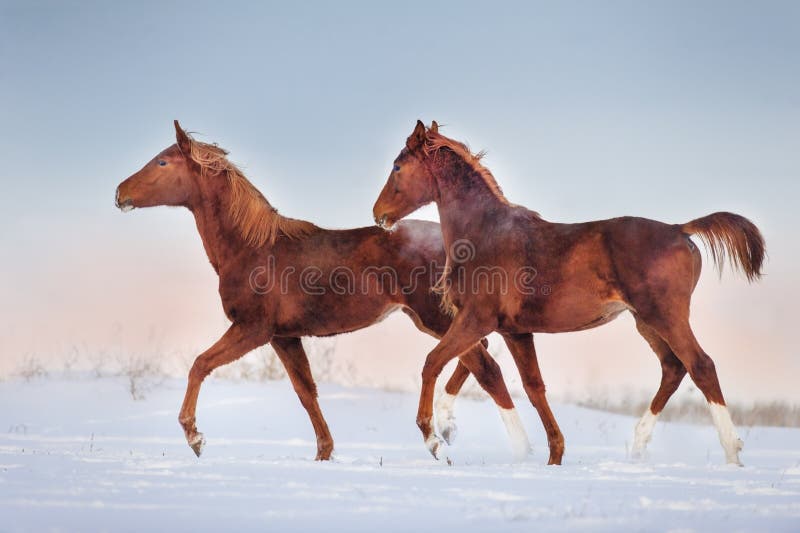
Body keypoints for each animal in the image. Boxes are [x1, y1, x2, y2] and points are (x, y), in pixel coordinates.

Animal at [115, 121, 532, 461]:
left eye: (162, 163)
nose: (120, 193)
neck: (251, 249)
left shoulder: (252, 329)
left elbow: (200, 364)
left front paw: (195, 437)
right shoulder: (284, 338)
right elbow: (306, 393)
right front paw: (324, 453)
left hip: (437, 318)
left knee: (487, 367)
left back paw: (466, 441)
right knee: (477, 356)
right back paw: (450, 429)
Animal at [372, 120, 765, 465]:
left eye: (397, 166)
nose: (379, 214)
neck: (484, 233)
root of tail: (680, 229)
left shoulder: (477, 319)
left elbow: (434, 362)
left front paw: (434, 438)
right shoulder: (514, 331)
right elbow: (531, 385)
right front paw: (554, 454)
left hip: (665, 315)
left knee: (701, 365)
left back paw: (732, 452)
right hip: (645, 321)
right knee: (673, 368)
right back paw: (638, 445)